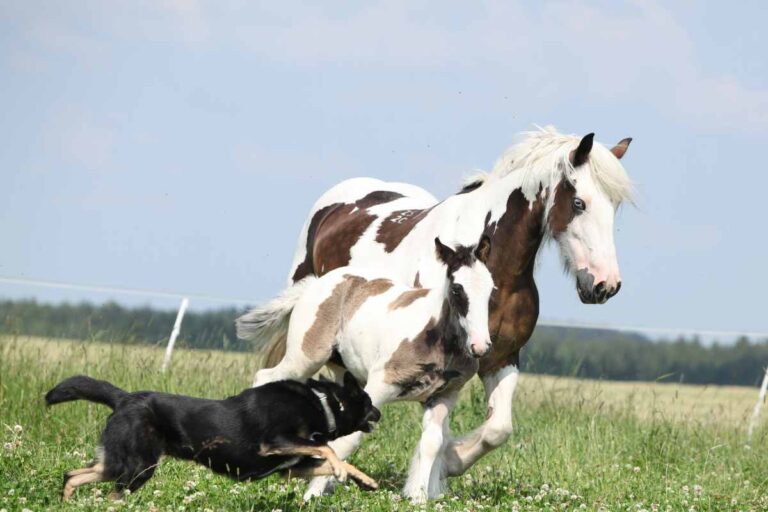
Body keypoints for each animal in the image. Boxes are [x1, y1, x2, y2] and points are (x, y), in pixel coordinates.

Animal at [252, 236, 494, 502]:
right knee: (265, 377)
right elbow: (349, 442)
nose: (480, 346)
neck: (436, 338)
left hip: (341, 373)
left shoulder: (443, 396)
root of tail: (317, 282)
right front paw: (312, 495)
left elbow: (432, 443)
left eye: (491, 288)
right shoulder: (380, 386)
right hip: (304, 358)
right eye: (457, 289)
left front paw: (419, 498)